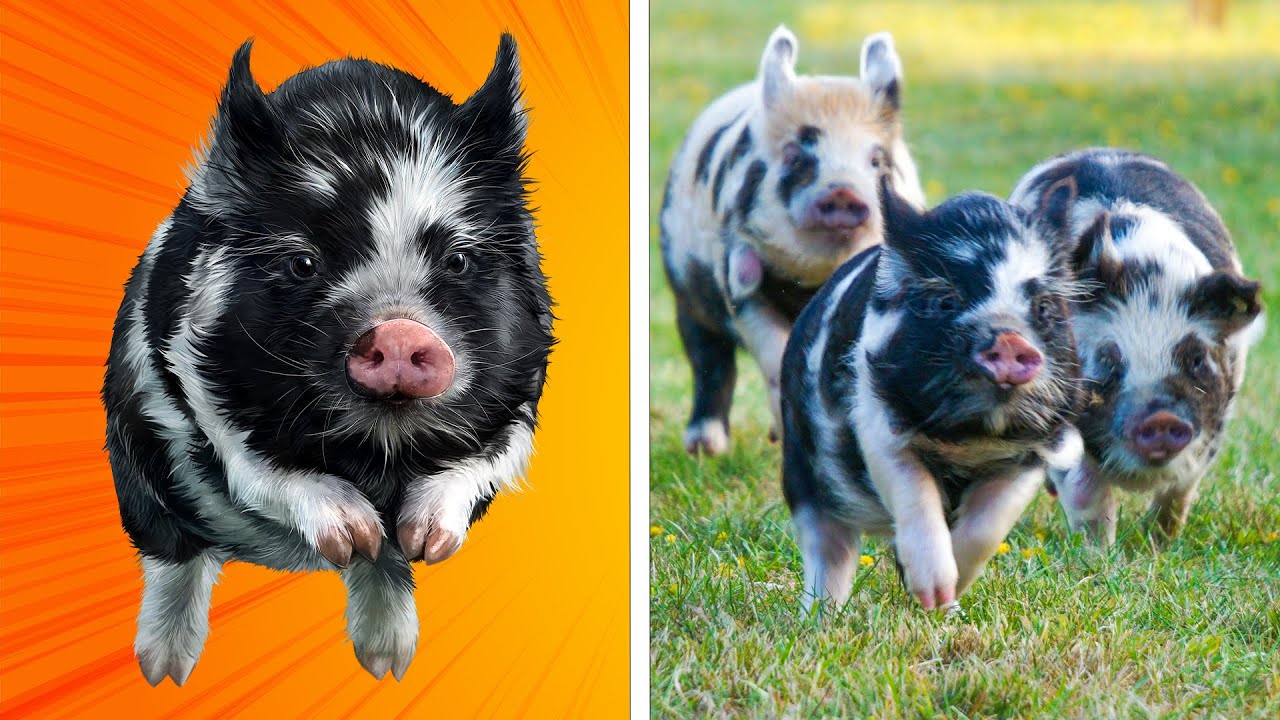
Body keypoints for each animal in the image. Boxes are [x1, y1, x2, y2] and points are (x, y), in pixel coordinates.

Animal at [101, 37, 554, 685]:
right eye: (304, 262)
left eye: (458, 259)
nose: (398, 332)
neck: (374, 453)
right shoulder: (195, 377)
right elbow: (259, 465)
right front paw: (352, 535)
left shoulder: (522, 392)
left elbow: (477, 463)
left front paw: (426, 542)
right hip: (135, 453)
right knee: (172, 550)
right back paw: (165, 671)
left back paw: (387, 661)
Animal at [660, 25, 925, 455]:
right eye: (796, 157)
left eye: (876, 160)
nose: (842, 191)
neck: (812, 278)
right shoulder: (740, 279)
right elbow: (772, 354)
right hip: (685, 295)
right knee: (709, 361)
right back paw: (706, 447)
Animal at [781, 178, 1083, 610]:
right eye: (945, 301)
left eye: (1044, 308)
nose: (1009, 339)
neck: (972, 438)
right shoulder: (877, 427)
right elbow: (915, 496)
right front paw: (932, 593)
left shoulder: (1030, 454)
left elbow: (987, 527)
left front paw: (944, 600)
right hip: (800, 466)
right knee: (829, 548)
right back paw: (821, 617)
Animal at [1011, 148, 1264, 545]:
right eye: (1107, 359)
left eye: (1195, 358)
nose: (1161, 418)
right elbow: (1086, 489)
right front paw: (1097, 551)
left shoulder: (1215, 422)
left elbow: (1179, 492)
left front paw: (1160, 546)